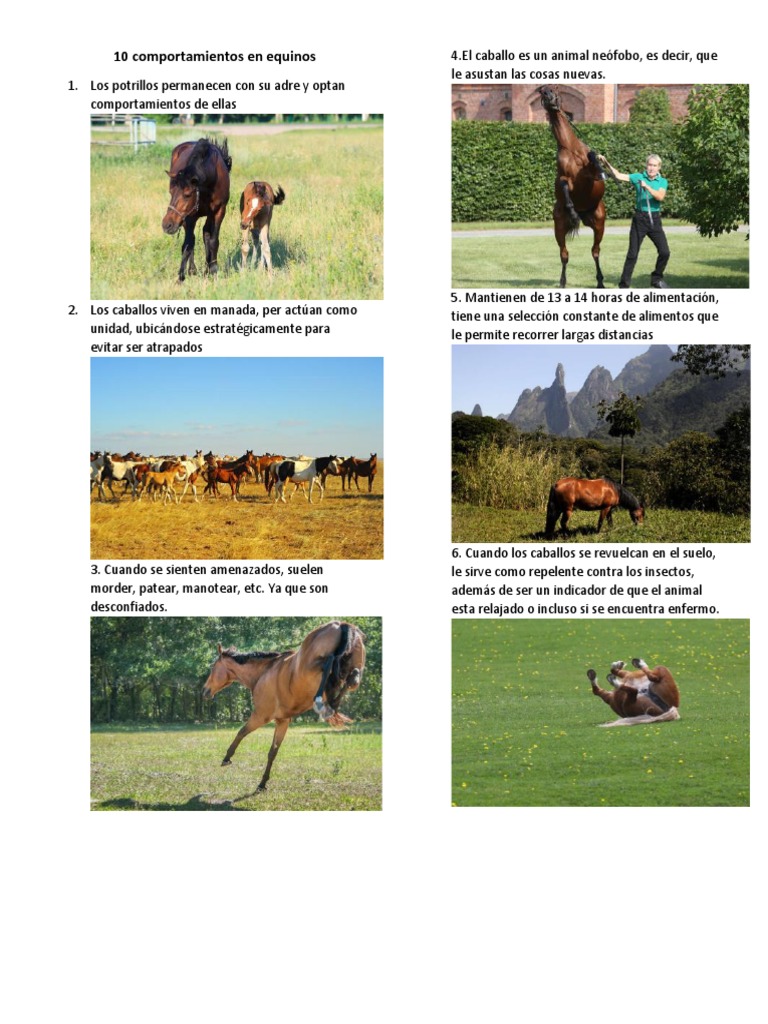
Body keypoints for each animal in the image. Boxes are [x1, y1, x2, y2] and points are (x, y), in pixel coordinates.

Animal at [162, 138, 232, 282]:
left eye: (187, 194)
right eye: (171, 192)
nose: (167, 225)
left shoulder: (219, 211)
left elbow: (213, 241)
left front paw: (213, 270)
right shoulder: (190, 216)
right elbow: (188, 244)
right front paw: (181, 276)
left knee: (206, 234)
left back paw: (206, 269)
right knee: (193, 238)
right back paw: (192, 270)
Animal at [201, 621, 366, 790]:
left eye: (213, 668)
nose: (205, 691)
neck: (262, 673)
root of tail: (341, 624)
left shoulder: (260, 716)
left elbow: (241, 732)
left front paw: (227, 758)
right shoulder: (282, 721)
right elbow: (273, 751)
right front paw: (262, 783)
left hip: (313, 666)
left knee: (329, 663)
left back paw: (321, 702)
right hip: (354, 666)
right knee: (352, 678)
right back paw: (332, 704)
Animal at [538, 86, 606, 288]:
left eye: (554, 90)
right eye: (542, 92)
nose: (550, 99)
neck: (572, 149)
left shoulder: (591, 176)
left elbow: (593, 161)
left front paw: (599, 165)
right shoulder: (564, 178)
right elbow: (563, 184)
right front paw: (572, 210)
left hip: (599, 224)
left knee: (595, 251)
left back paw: (601, 282)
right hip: (559, 228)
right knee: (564, 254)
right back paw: (562, 282)